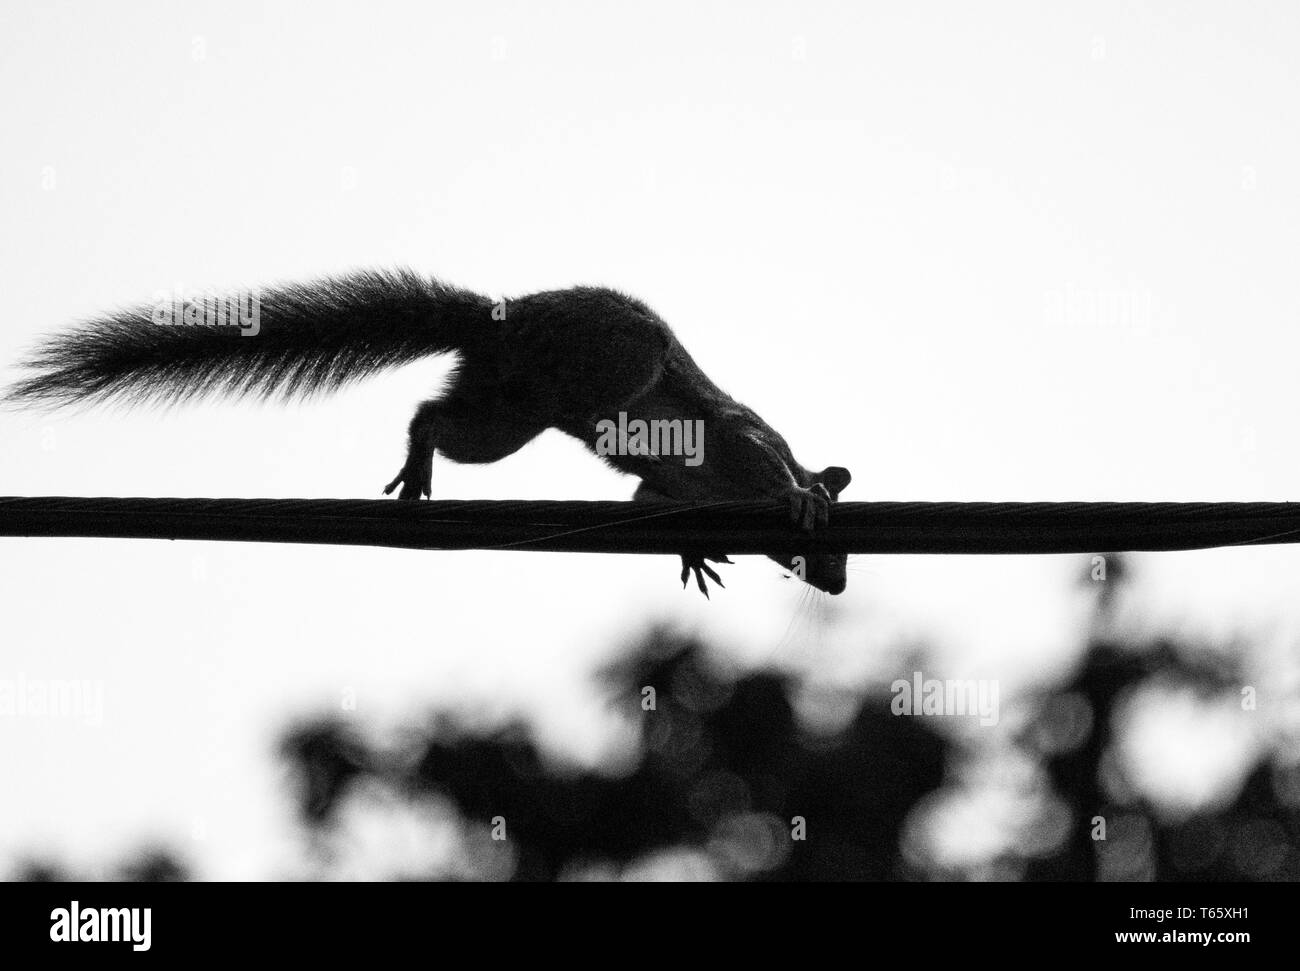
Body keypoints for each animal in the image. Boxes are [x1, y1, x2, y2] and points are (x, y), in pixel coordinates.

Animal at [4, 270, 853, 595]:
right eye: (835, 544)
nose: (839, 581)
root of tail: (502, 319)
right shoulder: (740, 435)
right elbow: (755, 455)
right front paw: (798, 498)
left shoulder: (671, 482)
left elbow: (651, 497)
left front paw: (693, 551)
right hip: (602, 364)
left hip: (506, 406)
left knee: (443, 415)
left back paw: (419, 466)